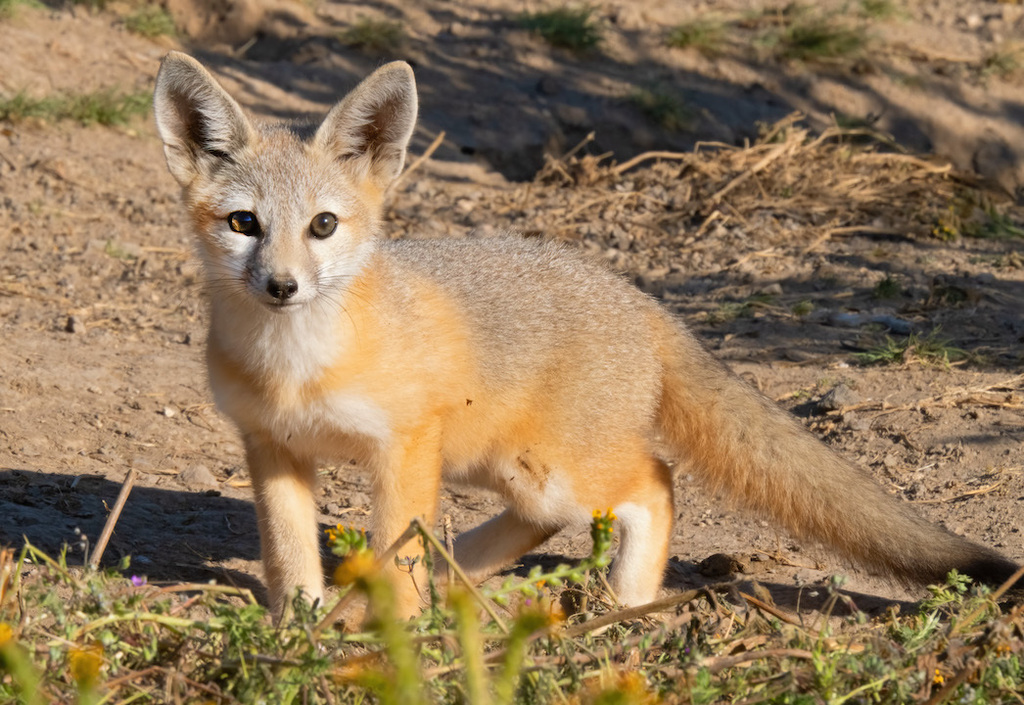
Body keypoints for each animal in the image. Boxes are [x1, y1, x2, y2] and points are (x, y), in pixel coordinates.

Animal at [152, 51, 1021, 619]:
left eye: (324, 226)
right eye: (244, 224)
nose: (282, 286)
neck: (296, 368)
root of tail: (642, 301)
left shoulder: (404, 446)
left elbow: (397, 559)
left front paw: (384, 635)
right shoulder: (272, 447)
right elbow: (288, 556)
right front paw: (297, 630)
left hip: (551, 468)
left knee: (655, 483)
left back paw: (624, 600)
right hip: (503, 466)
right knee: (549, 518)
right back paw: (460, 574)